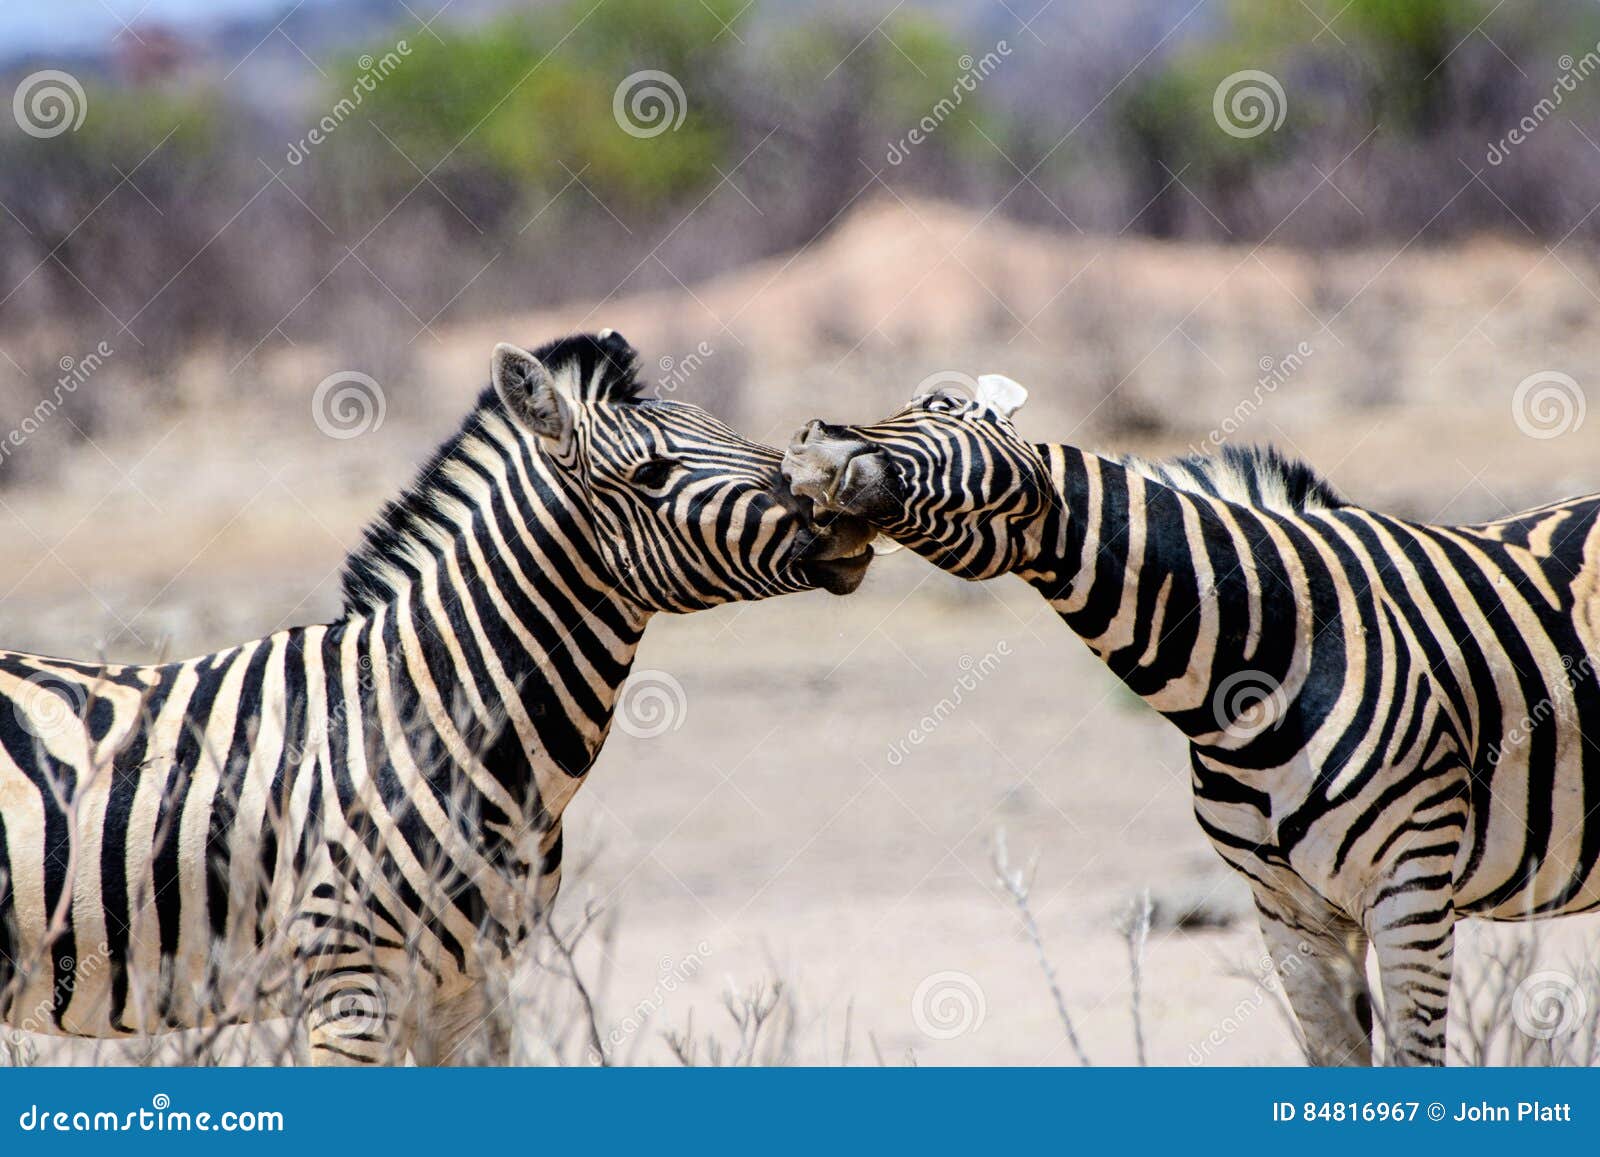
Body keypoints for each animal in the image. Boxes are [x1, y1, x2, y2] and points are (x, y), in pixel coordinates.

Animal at [0, 330, 874, 1065]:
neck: (430, 724)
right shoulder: (345, 985)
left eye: (730, 430)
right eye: (651, 475)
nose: (843, 502)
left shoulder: (468, 985)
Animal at [783, 374, 1600, 1066]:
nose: (807, 446)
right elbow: (1335, 1060)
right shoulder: (1289, 911)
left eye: (943, 407)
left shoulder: (1413, 888)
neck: (1266, 662)